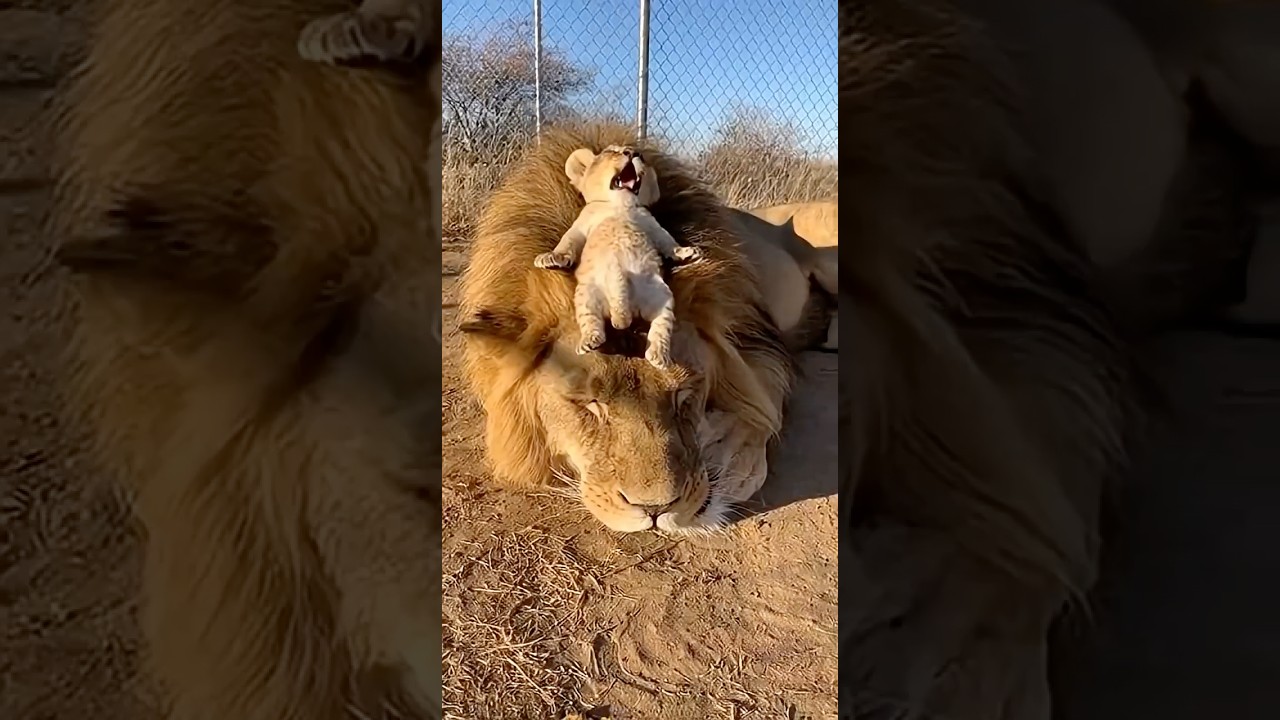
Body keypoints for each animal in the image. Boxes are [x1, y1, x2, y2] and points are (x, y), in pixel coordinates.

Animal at [533, 144, 703, 367]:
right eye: (612, 151)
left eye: (642, 157)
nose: (633, 153)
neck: (620, 207)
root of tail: (629, 310)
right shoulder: (582, 223)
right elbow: (568, 240)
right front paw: (551, 258)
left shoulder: (651, 224)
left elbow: (667, 240)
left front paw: (686, 252)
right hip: (586, 293)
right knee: (592, 321)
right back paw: (590, 340)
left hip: (662, 297)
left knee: (661, 327)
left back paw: (658, 355)